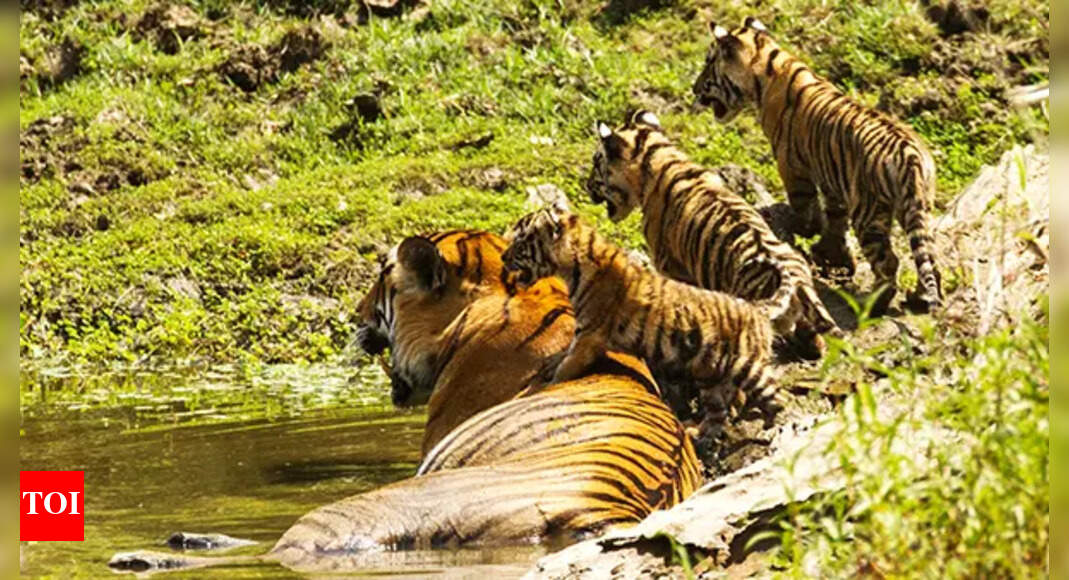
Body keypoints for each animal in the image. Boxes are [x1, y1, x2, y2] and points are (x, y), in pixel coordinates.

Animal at [109, 230, 702, 574]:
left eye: (381, 280)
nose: (353, 312)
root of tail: (609, 514)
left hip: (350, 513)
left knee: (280, 549)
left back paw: (150, 551)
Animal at [501, 205, 779, 439]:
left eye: (520, 241)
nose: (503, 257)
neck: (571, 266)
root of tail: (758, 309)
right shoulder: (582, 335)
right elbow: (563, 353)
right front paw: (550, 363)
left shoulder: (589, 338)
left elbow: (565, 370)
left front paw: (543, 389)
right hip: (710, 376)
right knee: (718, 413)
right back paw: (698, 434)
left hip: (746, 367)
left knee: (772, 396)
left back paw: (769, 431)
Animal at [692, 16, 943, 315]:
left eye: (709, 62)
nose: (693, 88)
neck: (768, 63)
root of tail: (911, 155)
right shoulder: (833, 177)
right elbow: (835, 218)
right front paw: (832, 254)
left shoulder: (791, 166)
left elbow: (806, 207)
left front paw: (805, 230)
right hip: (918, 207)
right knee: (929, 255)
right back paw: (919, 298)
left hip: (870, 213)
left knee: (889, 261)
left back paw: (872, 304)